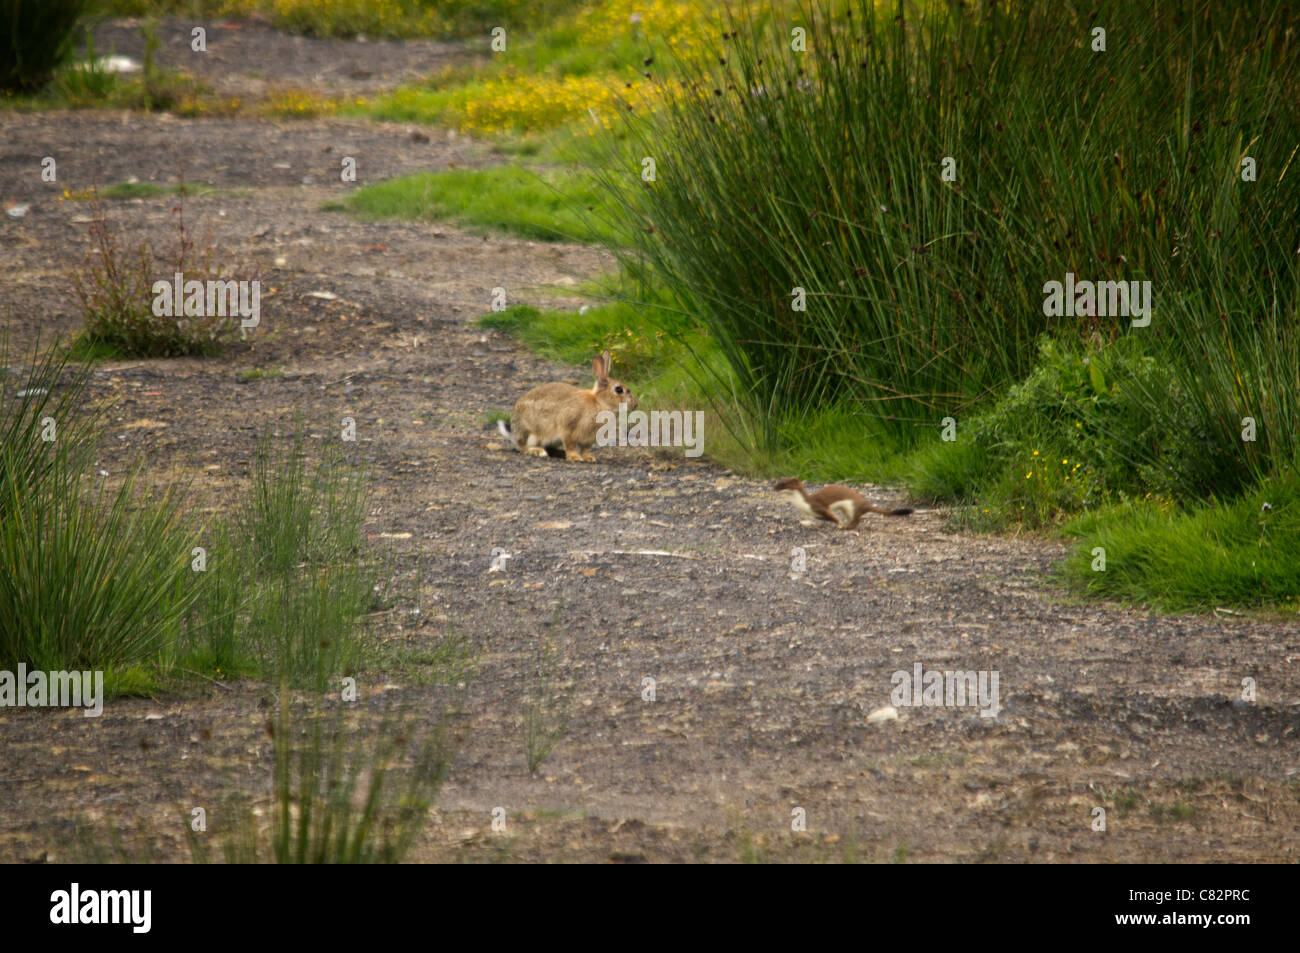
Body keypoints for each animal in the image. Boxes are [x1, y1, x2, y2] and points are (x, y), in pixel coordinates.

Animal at [497, 349, 637, 462]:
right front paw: (575, 457)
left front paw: (589, 458)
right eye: (619, 389)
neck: (599, 402)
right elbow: (570, 445)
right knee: (522, 446)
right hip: (530, 432)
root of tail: (514, 431)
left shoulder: (589, 439)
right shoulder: (569, 429)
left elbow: (585, 449)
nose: (635, 405)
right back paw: (538, 451)